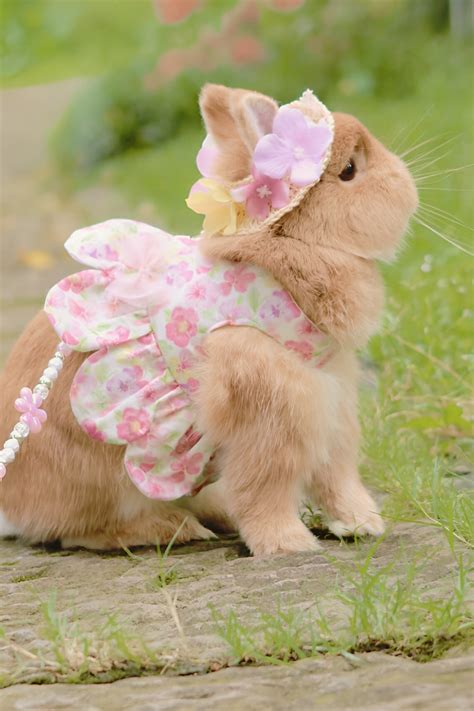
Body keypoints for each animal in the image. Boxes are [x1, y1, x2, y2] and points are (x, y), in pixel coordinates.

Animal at [0, 84, 418, 555]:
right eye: (349, 170)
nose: (405, 180)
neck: (287, 251)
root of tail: (12, 506)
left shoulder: (332, 400)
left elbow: (337, 476)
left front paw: (362, 524)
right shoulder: (269, 410)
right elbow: (265, 487)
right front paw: (288, 544)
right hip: (105, 484)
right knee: (82, 532)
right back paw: (172, 528)